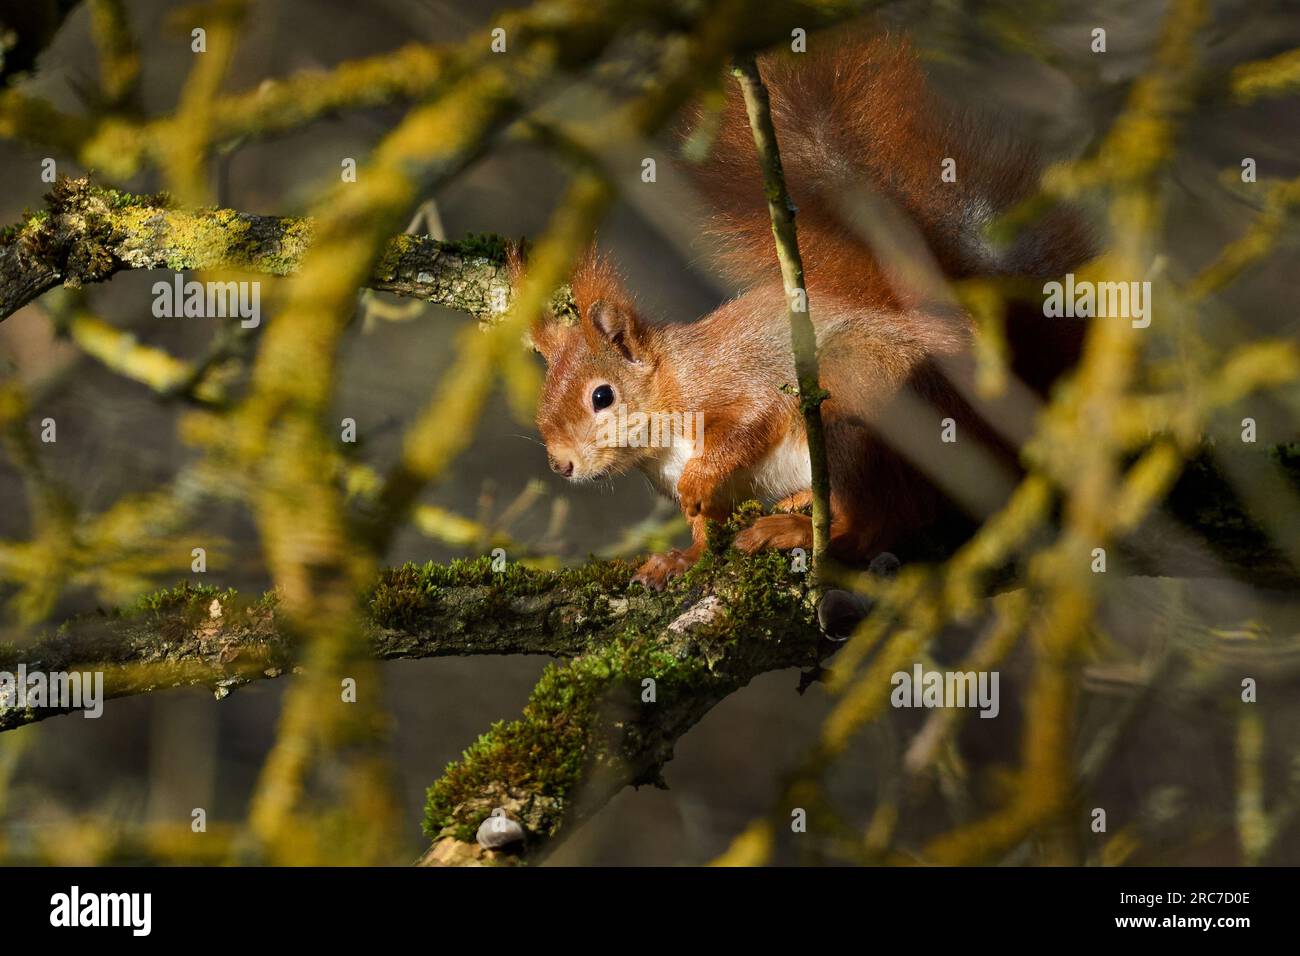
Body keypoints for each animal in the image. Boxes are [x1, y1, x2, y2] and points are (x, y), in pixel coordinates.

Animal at [527, 30, 1093, 590]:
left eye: (602, 396)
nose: (561, 465)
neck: (669, 397)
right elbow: (707, 528)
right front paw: (680, 559)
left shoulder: (738, 380)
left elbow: (746, 424)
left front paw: (699, 481)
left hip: (858, 404)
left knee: (873, 525)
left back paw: (794, 531)